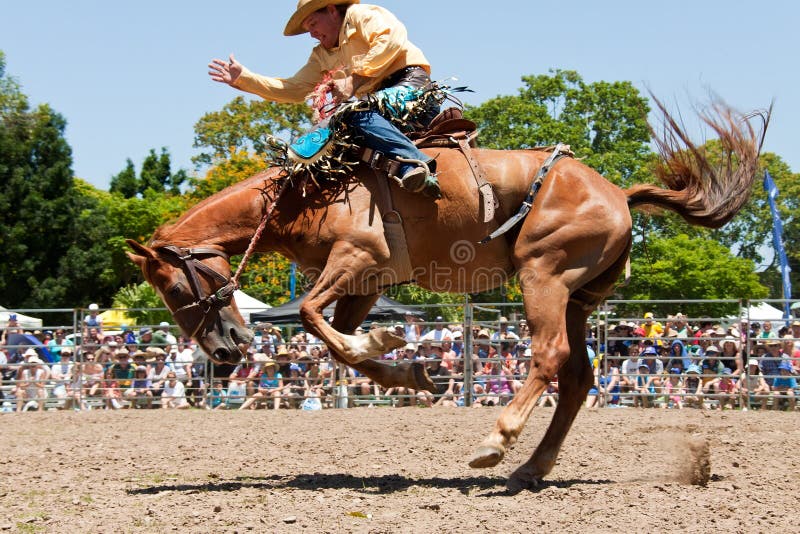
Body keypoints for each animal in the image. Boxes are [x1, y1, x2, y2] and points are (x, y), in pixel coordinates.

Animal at [127, 98, 767, 491]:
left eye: (176, 285)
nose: (224, 352)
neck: (305, 192)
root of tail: (617, 194)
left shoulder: (359, 257)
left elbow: (312, 316)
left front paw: (386, 346)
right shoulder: (368, 282)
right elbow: (334, 338)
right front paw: (408, 370)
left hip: (544, 277)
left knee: (548, 357)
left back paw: (495, 444)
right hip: (578, 299)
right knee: (577, 377)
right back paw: (530, 469)